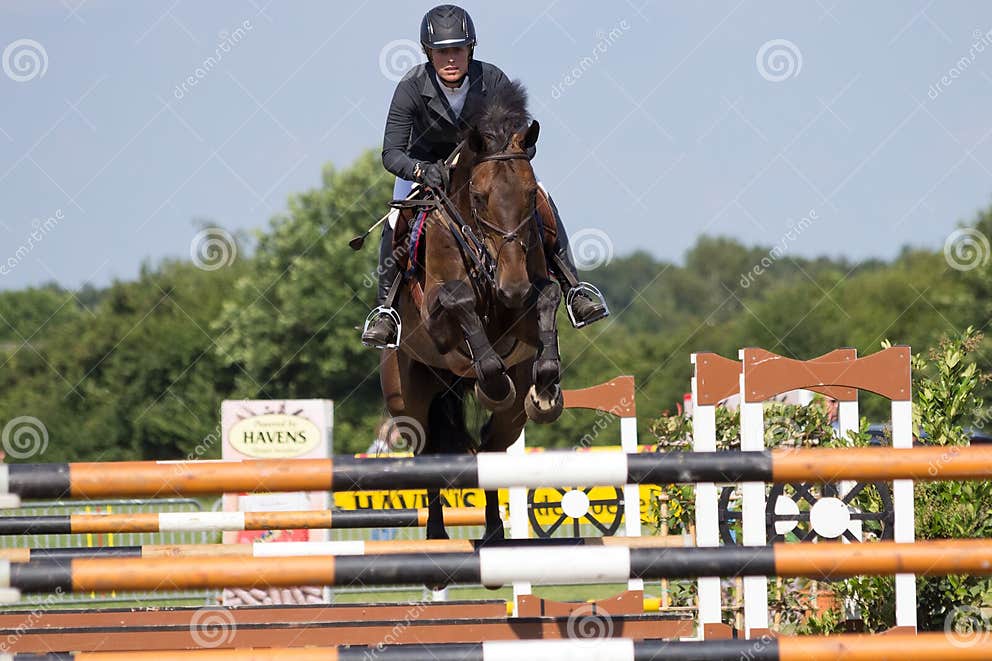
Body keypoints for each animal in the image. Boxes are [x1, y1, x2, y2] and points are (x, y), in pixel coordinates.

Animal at [380, 81, 564, 542]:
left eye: (530, 196)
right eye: (479, 198)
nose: (511, 287)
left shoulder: (523, 312)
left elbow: (549, 296)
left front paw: (547, 385)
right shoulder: (436, 321)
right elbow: (459, 303)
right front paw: (492, 381)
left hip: (507, 421)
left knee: (491, 450)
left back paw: (495, 532)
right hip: (408, 399)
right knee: (426, 452)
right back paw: (436, 534)